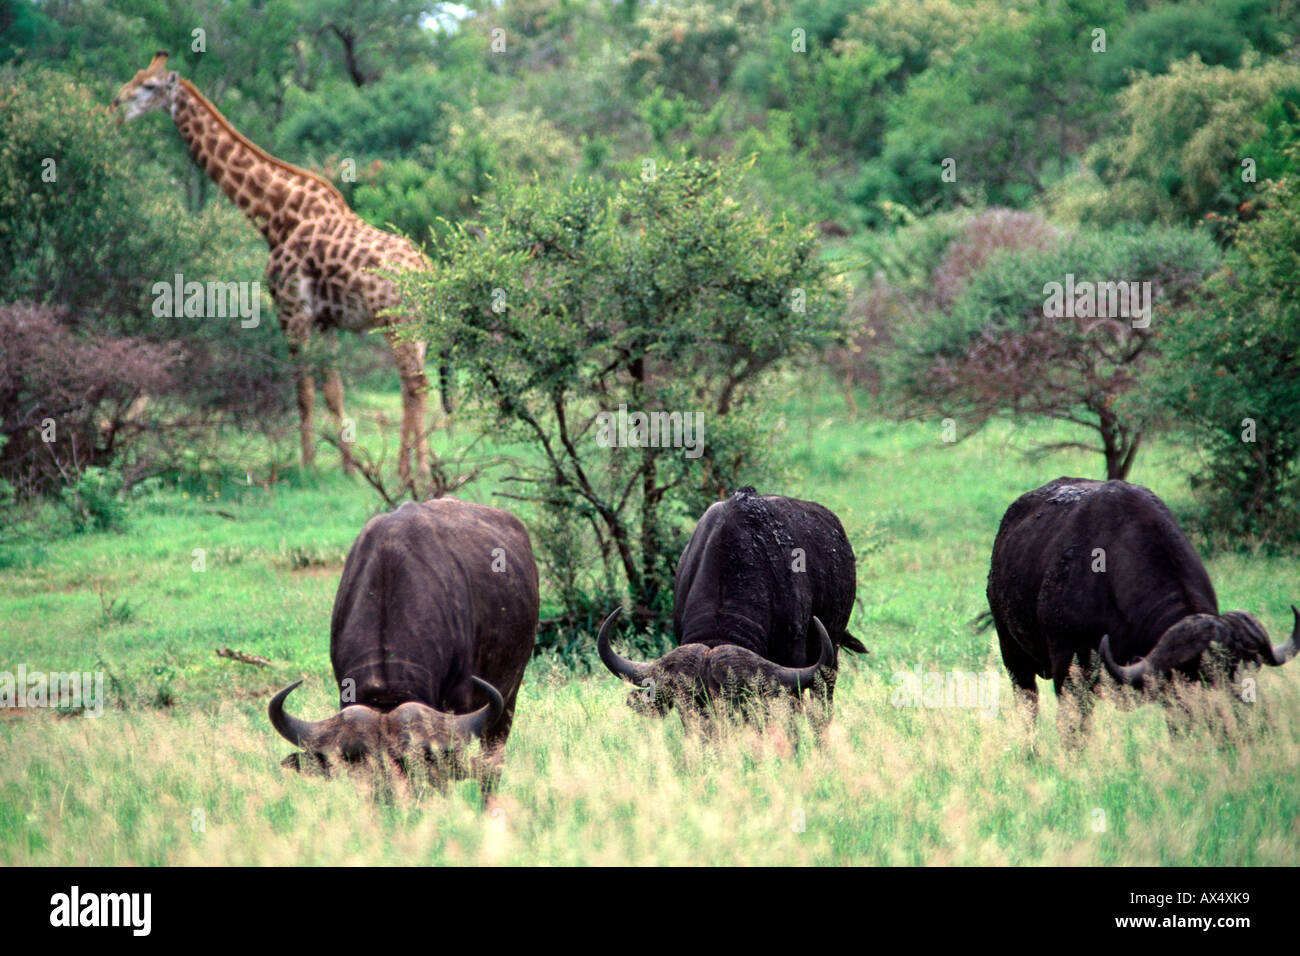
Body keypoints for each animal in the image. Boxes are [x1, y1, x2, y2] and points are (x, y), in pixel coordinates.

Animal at [111, 51, 438, 485]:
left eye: (149, 86)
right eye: (134, 77)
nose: (116, 104)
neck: (273, 214)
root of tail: (428, 271)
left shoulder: (291, 310)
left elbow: (303, 391)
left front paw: (308, 466)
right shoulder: (324, 319)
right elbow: (333, 390)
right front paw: (349, 468)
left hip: (396, 321)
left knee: (414, 383)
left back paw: (415, 474)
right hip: (416, 326)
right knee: (415, 384)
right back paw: (415, 469)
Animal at [986, 477, 1298, 717]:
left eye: (1250, 667)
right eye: (1204, 675)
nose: (1241, 713)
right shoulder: (1070, 671)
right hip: (1013, 655)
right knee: (1028, 704)